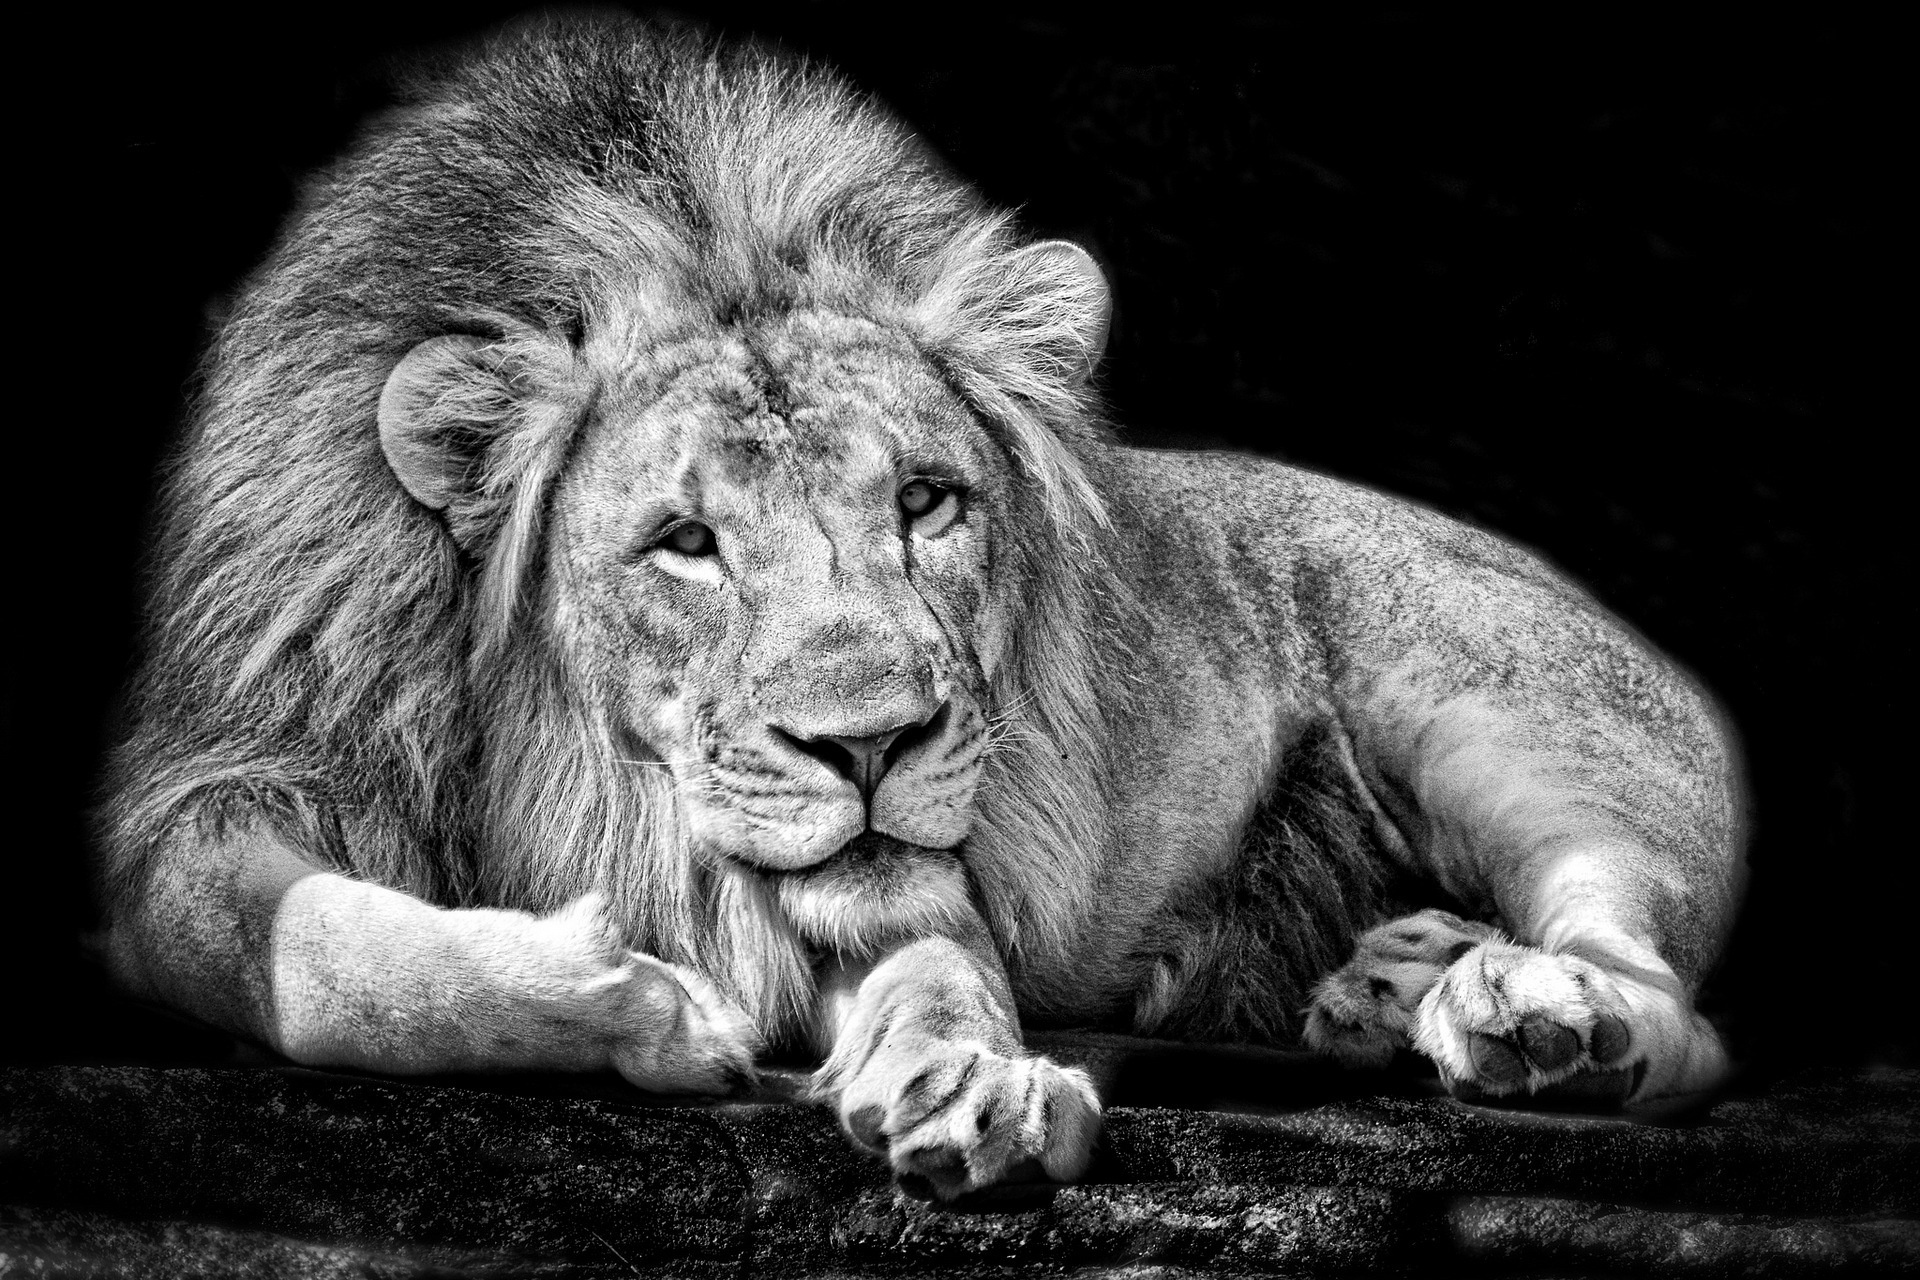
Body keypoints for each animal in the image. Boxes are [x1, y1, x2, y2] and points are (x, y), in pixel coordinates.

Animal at [96, 14, 1743, 1200]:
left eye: (929, 502)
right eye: (685, 542)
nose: (872, 746)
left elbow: (942, 958)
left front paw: (972, 1079)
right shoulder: (214, 785)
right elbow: (313, 957)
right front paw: (640, 1002)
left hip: (1498, 728)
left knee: (1668, 1000)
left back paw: (1533, 1019)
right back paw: (1388, 981)